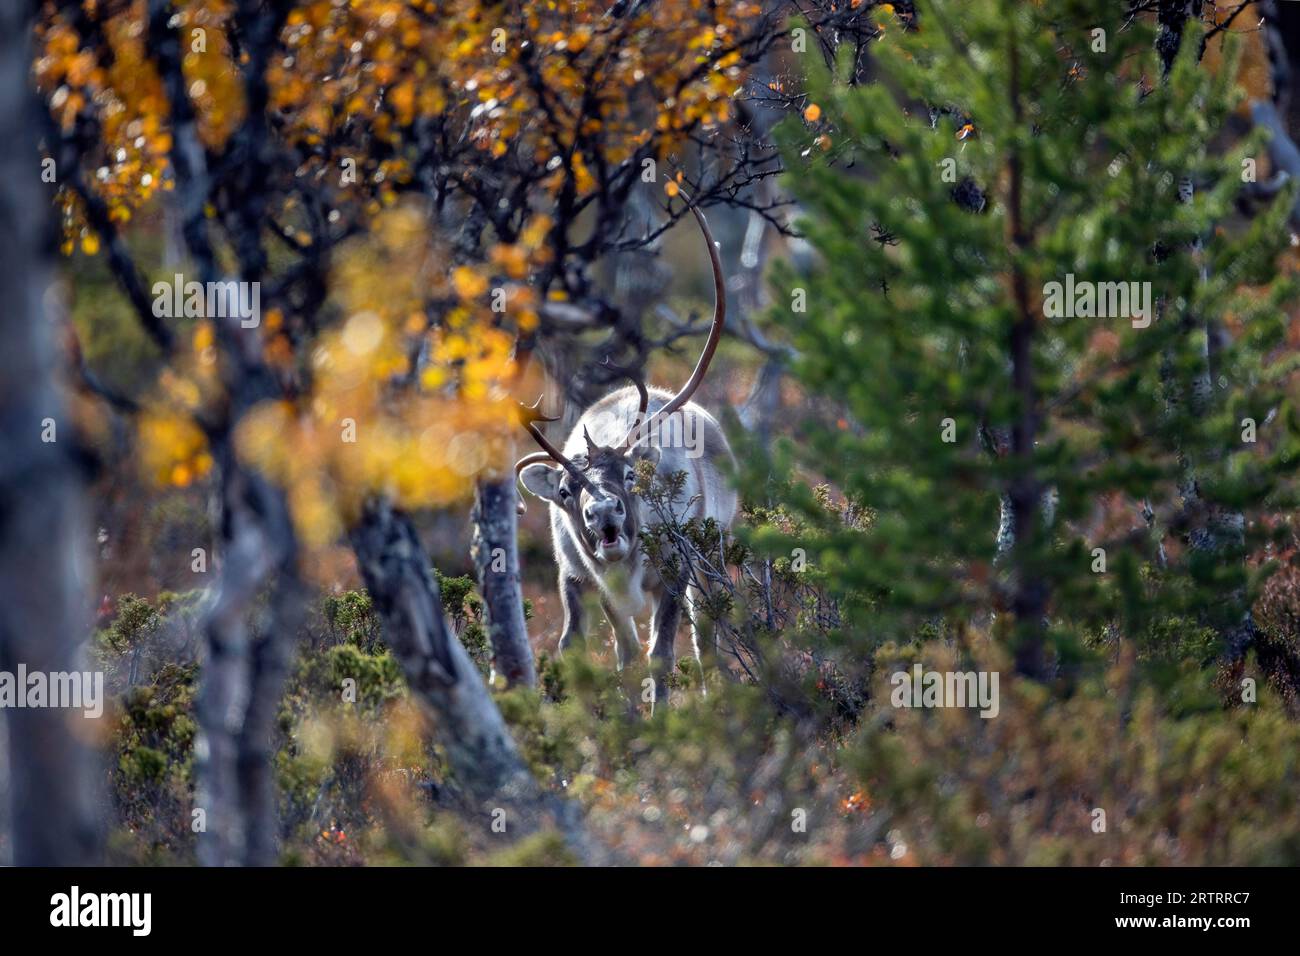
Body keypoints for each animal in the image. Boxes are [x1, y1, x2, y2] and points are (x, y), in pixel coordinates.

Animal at [515, 194, 736, 705]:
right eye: (564, 490)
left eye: (631, 475)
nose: (603, 511)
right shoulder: (592, 581)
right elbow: (626, 656)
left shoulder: (676, 569)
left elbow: (662, 654)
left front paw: (663, 714)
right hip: (570, 578)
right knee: (571, 639)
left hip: (712, 555)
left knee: (708, 638)